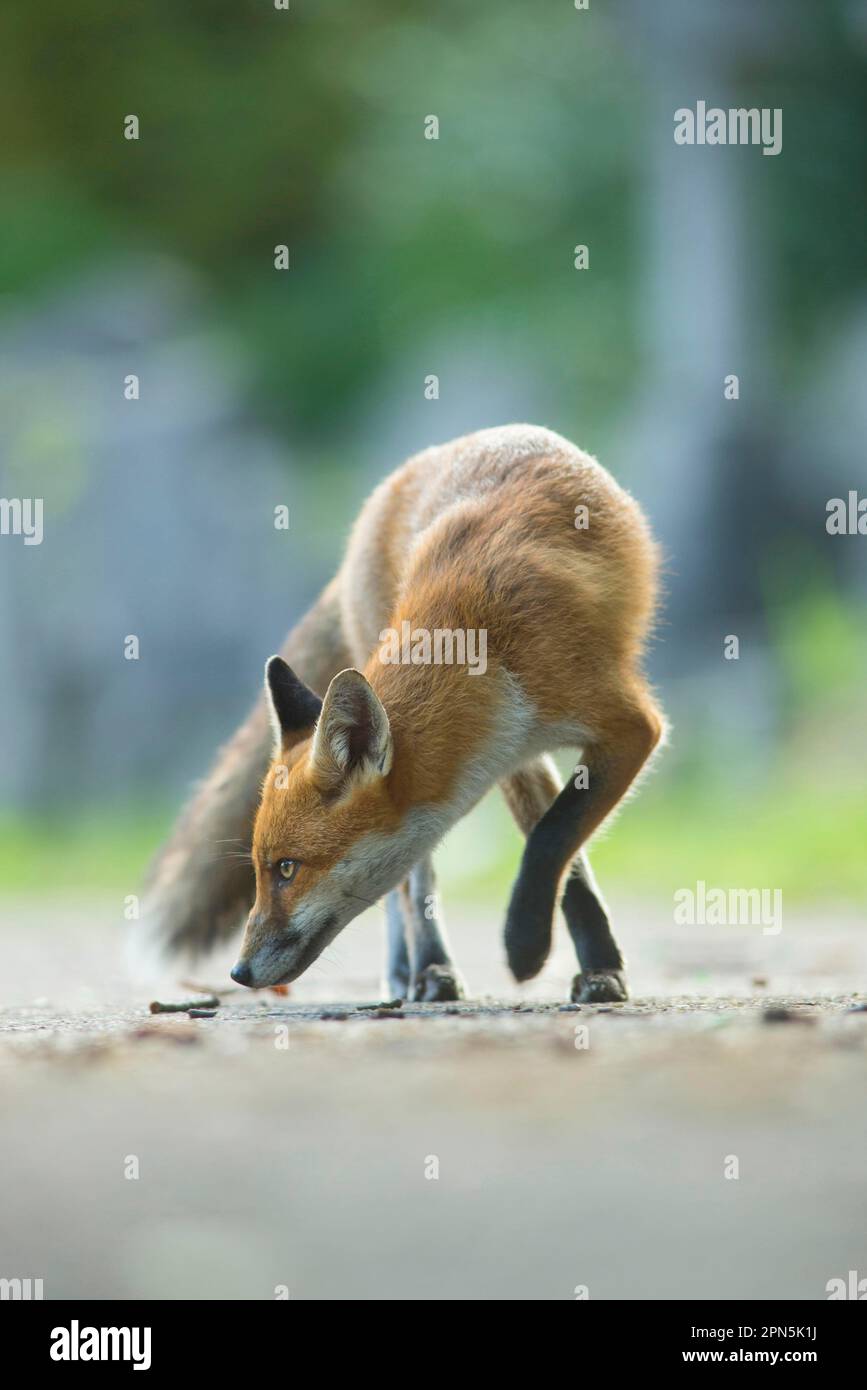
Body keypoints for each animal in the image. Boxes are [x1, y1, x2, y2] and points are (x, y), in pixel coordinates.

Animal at [140, 424, 666, 1004]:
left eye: (286, 869)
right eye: (260, 870)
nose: (239, 973)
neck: (484, 640)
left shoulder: (617, 724)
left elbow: (553, 839)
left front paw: (553, 954)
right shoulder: (511, 749)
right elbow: (547, 851)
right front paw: (544, 953)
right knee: (413, 889)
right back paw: (423, 970)